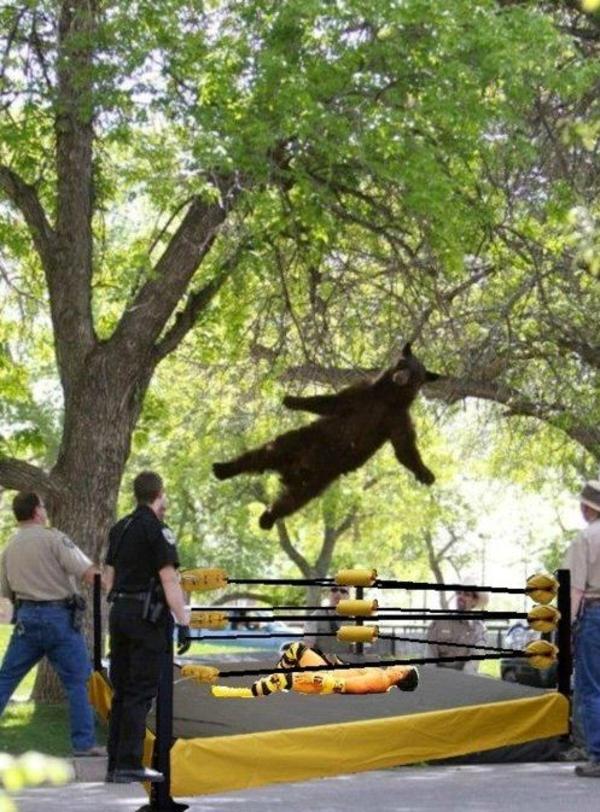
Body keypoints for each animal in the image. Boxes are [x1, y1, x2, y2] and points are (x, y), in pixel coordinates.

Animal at [212, 343, 441, 530]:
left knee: (292, 501)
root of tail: (291, 471)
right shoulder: (363, 394)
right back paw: (225, 468)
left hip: (318, 480)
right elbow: (331, 402)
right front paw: (292, 400)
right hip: (301, 441)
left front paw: (425, 473)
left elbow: (405, 447)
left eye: (416, 375)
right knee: (262, 454)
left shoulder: (397, 418)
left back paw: (267, 518)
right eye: (403, 363)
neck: (388, 397)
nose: (401, 377)